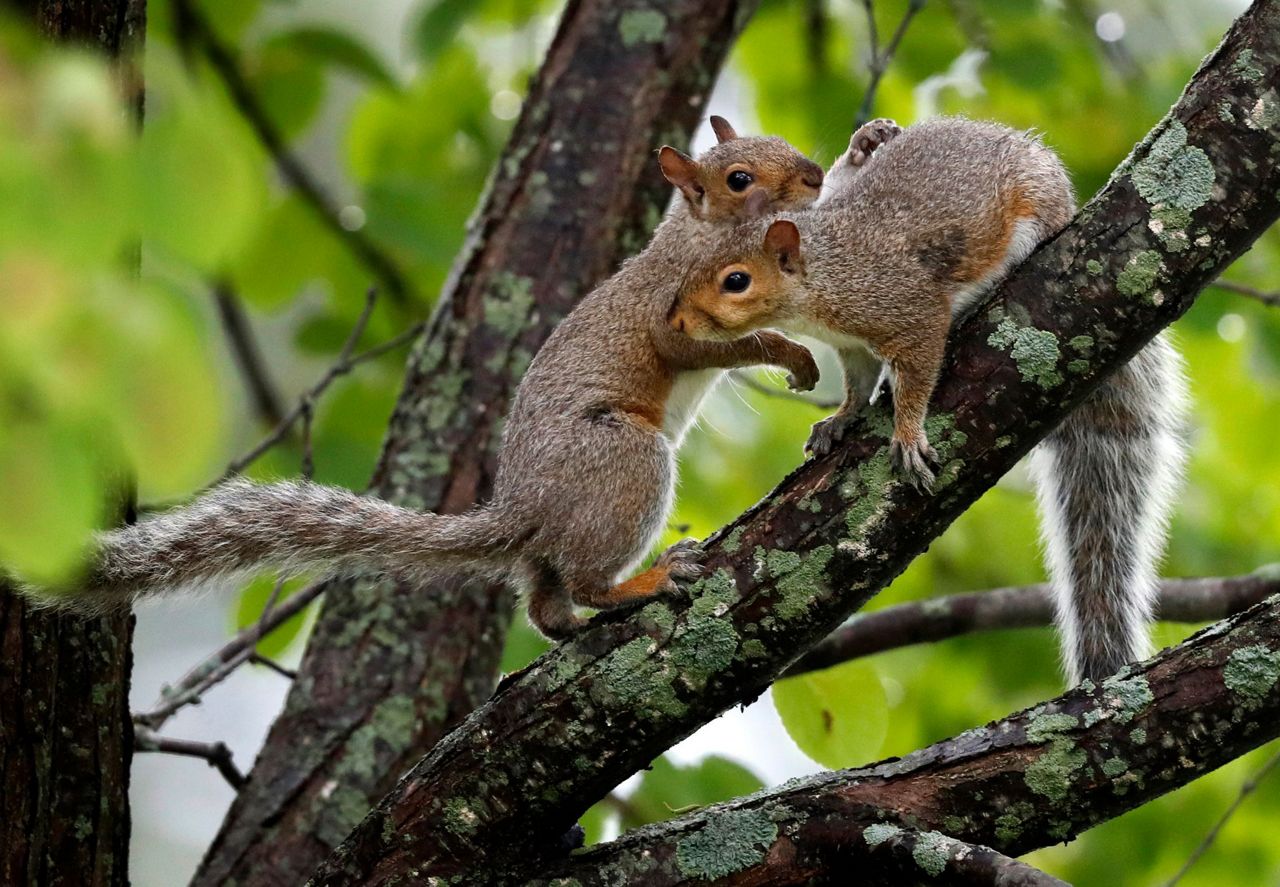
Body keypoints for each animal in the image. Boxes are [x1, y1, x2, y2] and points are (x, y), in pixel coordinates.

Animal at [24, 118, 826, 640]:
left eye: (783, 146)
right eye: (739, 179)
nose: (816, 175)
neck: (699, 234)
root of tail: (523, 507)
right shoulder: (674, 305)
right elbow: (706, 340)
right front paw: (790, 354)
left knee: (546, 603)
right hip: (621, 460)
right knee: (583, 577)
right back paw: (646, 580)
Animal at [667, 115, 1189, 684]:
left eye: (736, 280)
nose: (676, 322)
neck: (823, 273)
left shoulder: (907, 308)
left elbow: (918, 368)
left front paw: (908, 432)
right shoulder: (853, 345)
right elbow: (858, 382)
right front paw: (840, 420)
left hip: (1032, 211)